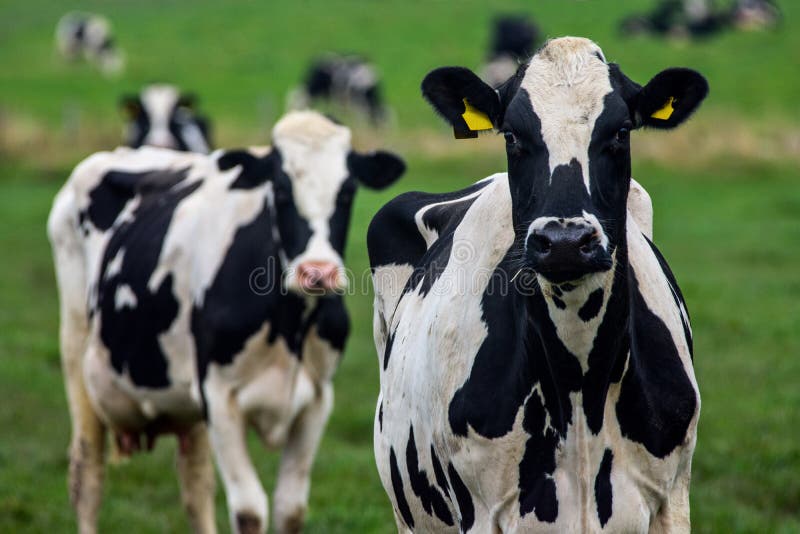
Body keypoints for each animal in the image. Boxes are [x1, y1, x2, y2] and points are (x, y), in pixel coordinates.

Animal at [47, 110, 405, 534]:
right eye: (280, 190)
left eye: (347, 192)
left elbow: (290, 508)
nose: (317, 272)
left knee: (196, 482)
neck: (289, 327)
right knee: (87, 474)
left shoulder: (317, 398)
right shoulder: (220, 397)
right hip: (77, 353)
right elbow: (250, 510)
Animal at [368, 37, 707, 532]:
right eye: (511, 134)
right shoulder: (481, 512)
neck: (580, 391)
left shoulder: (672, 500)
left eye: (622, 130)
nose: (565, 242)